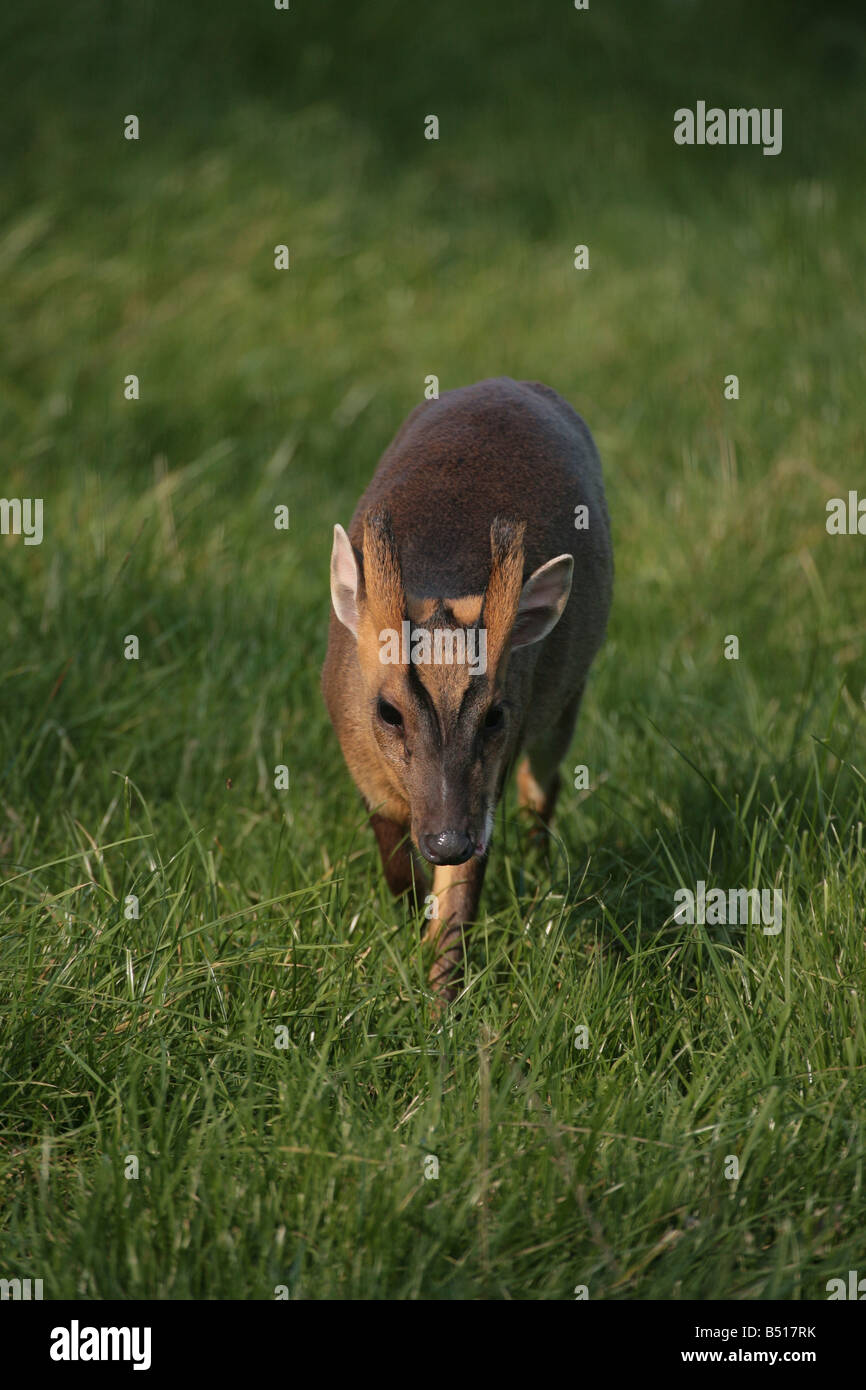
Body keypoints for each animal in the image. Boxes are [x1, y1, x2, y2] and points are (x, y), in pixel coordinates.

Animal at [321, 377, 613, 1003]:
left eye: (496, 715)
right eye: (388, 711)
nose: (448, 841)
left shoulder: (484, 793)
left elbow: (457, 904)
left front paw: (440, 1004)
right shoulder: (364, 765)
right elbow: (398, 868)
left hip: (568, 700)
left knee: (542, 788)